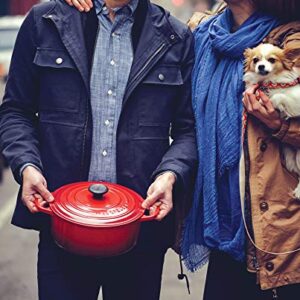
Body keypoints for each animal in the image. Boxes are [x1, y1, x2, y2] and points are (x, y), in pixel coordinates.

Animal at [245, 42, 300, 197]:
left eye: (271, 60)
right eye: (256, 60)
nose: (261, 66)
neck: (268, 82)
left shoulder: (296, 100)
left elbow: (278, 96)